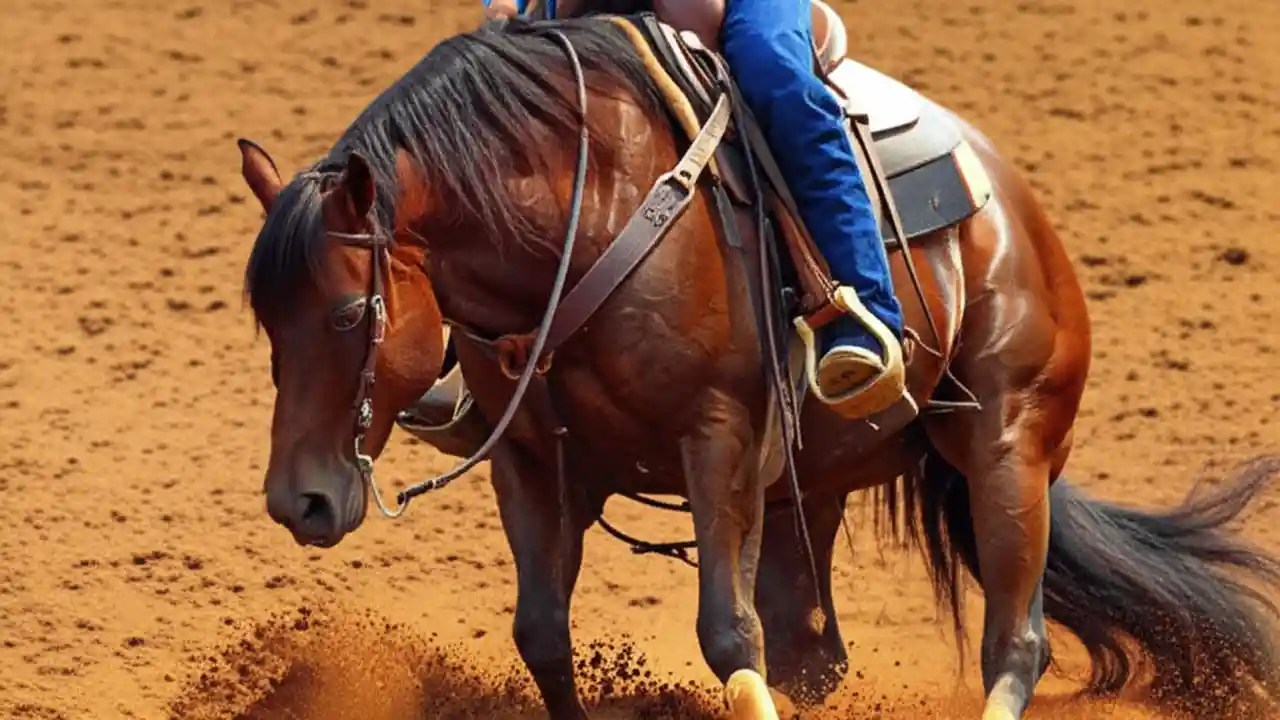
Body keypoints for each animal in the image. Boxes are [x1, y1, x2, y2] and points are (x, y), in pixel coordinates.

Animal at [234, 13, 1280, 720]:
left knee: (1012, 644)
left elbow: (727, 637)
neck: (589, 210)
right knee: (814, 650)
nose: (298, 502)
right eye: (266, 323)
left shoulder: (719, 442)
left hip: (1007, 442)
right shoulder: (534, 461)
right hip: (804, 489)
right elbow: (543, 633)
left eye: (351, 311)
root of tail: (1012, 207)